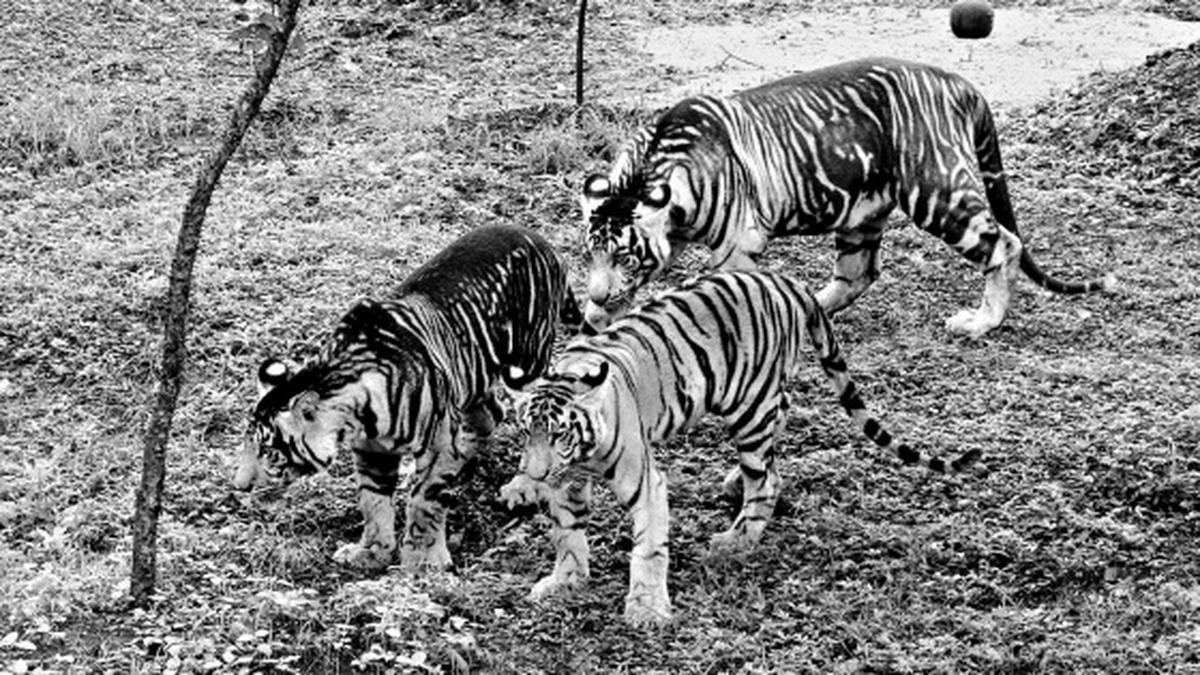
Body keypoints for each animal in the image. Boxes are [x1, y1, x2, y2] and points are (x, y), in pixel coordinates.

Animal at [233, 225, 581, 571]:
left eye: (268, 450)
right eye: (246, 445)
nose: (239, 486)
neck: (360, 416)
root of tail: (537, 238)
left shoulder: (437, 444)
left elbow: (424, 499)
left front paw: (423, 560)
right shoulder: (371, 451)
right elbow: (373, 501)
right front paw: (371, 550)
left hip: (526, 365)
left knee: (533, 423)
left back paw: (523, 486)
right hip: (472, 375)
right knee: (490, 413)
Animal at [500, 269, 980, 627]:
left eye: (559, 435)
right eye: (525, 432)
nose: (537, 474)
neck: (582, 457)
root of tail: (788, 282)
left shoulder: (645, 483)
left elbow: (648, 550)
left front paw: (647, 609)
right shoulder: (567, 483)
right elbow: (567, 534)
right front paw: (565, 581)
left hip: (748, 408)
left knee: (766, 480)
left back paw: (736, 539)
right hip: (758, 404)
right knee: (777, 434)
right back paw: (736, 484)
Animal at [580, 57, 1112, 339]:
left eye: (625, 255)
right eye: (591, 255)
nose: (597, 294)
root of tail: (959, 82)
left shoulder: (737, 243)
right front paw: (596, 316)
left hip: (936, 192)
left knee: (1003, 243)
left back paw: (982, 321)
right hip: (862, 214)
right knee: (859, 274)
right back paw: (805, 308)